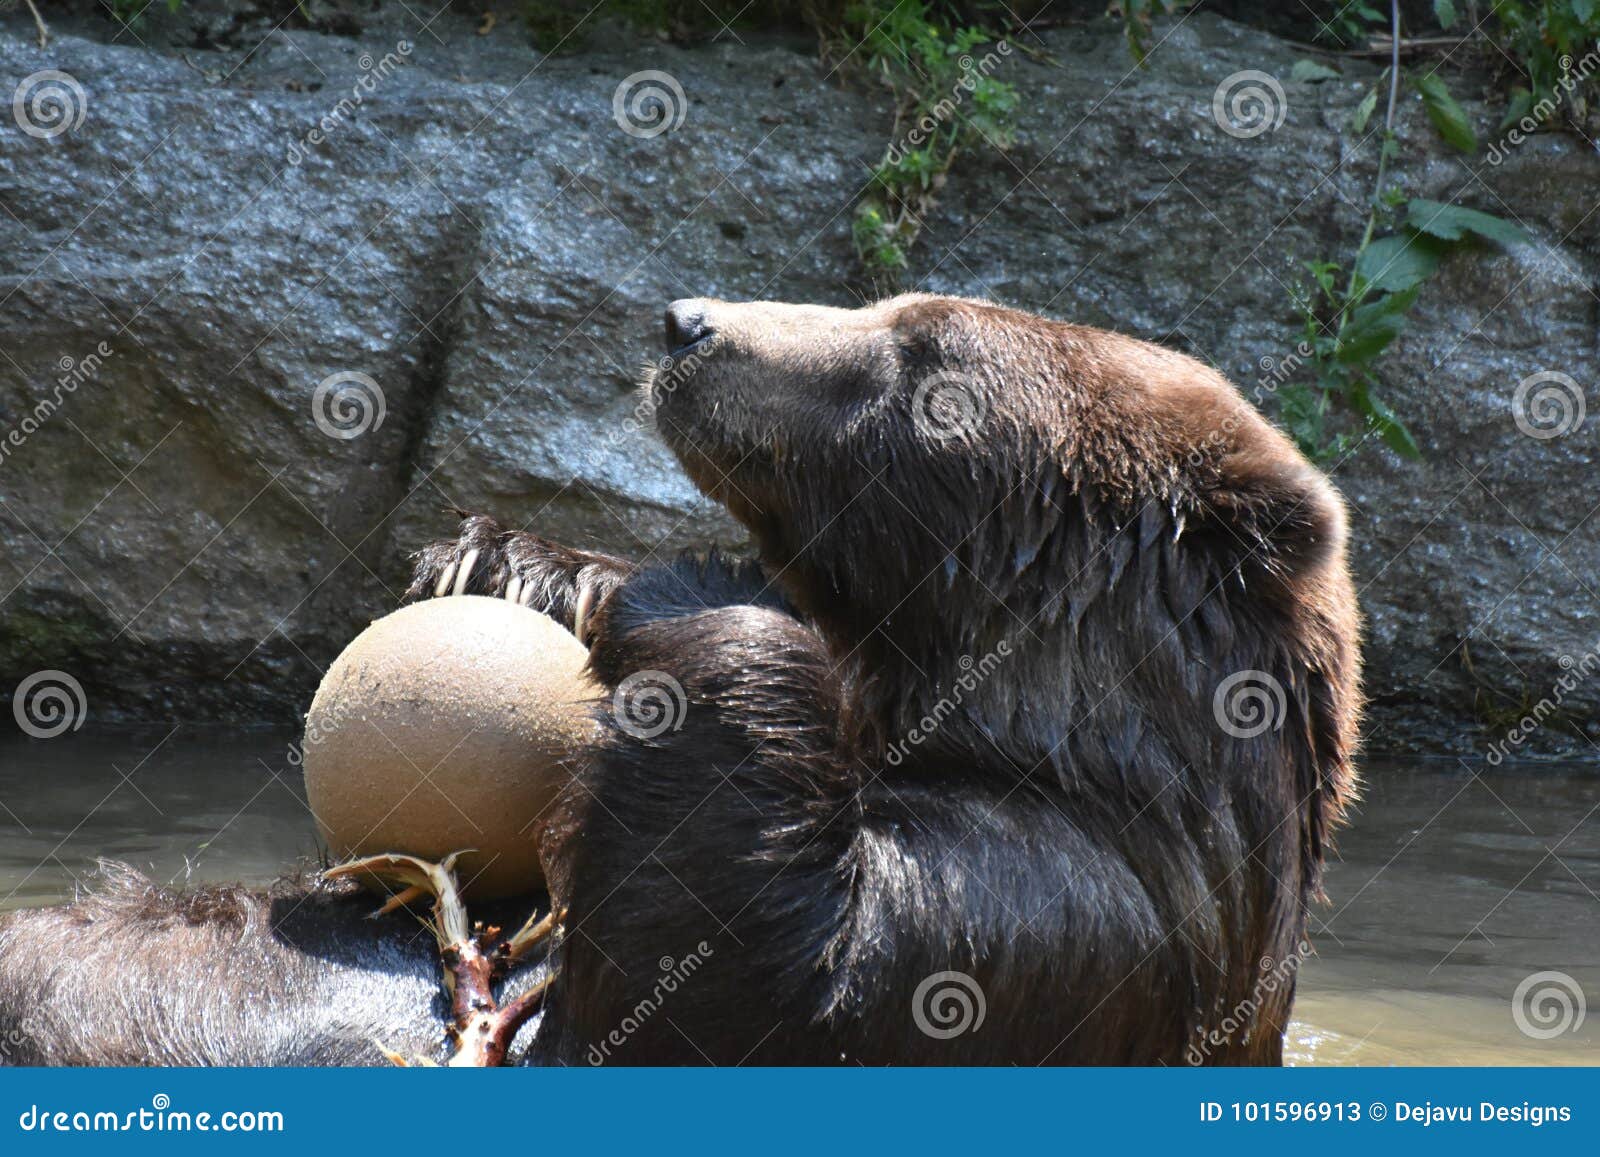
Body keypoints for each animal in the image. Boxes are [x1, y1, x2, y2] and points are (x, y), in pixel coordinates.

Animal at [0, 293, 1360, 1065]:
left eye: (914, 346)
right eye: (888, 305)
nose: (686, 321)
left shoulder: (1072, 908)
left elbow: (775, 976)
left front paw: (702, 587)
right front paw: (512, 559)